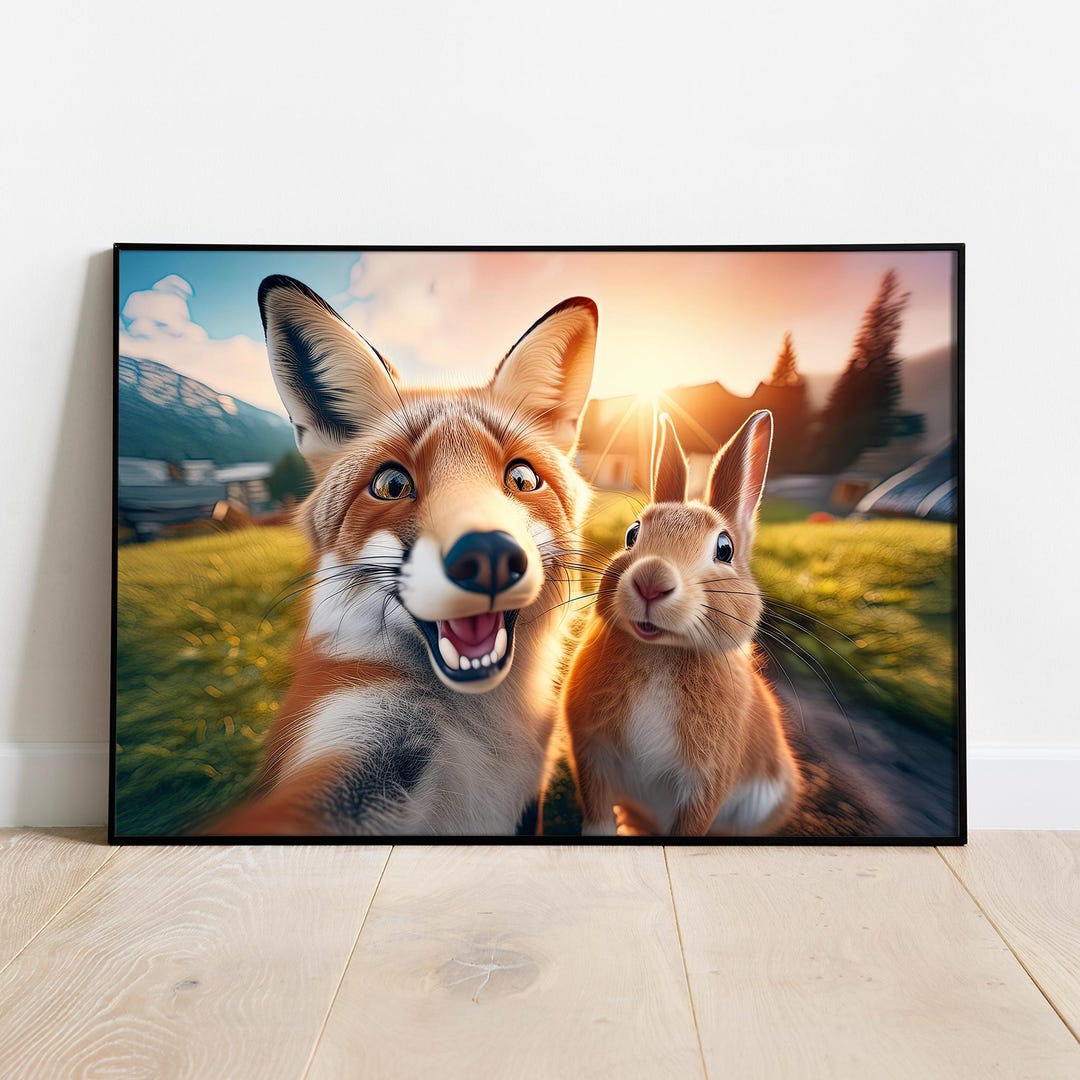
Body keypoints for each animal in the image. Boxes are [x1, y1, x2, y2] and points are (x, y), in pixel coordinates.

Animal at [562, 410, 801, 837]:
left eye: (725, 548)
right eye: (632, 533)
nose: (651, 581)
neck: (661, 654)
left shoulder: (706, 782)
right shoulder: (592, 753)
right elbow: (598, 815)